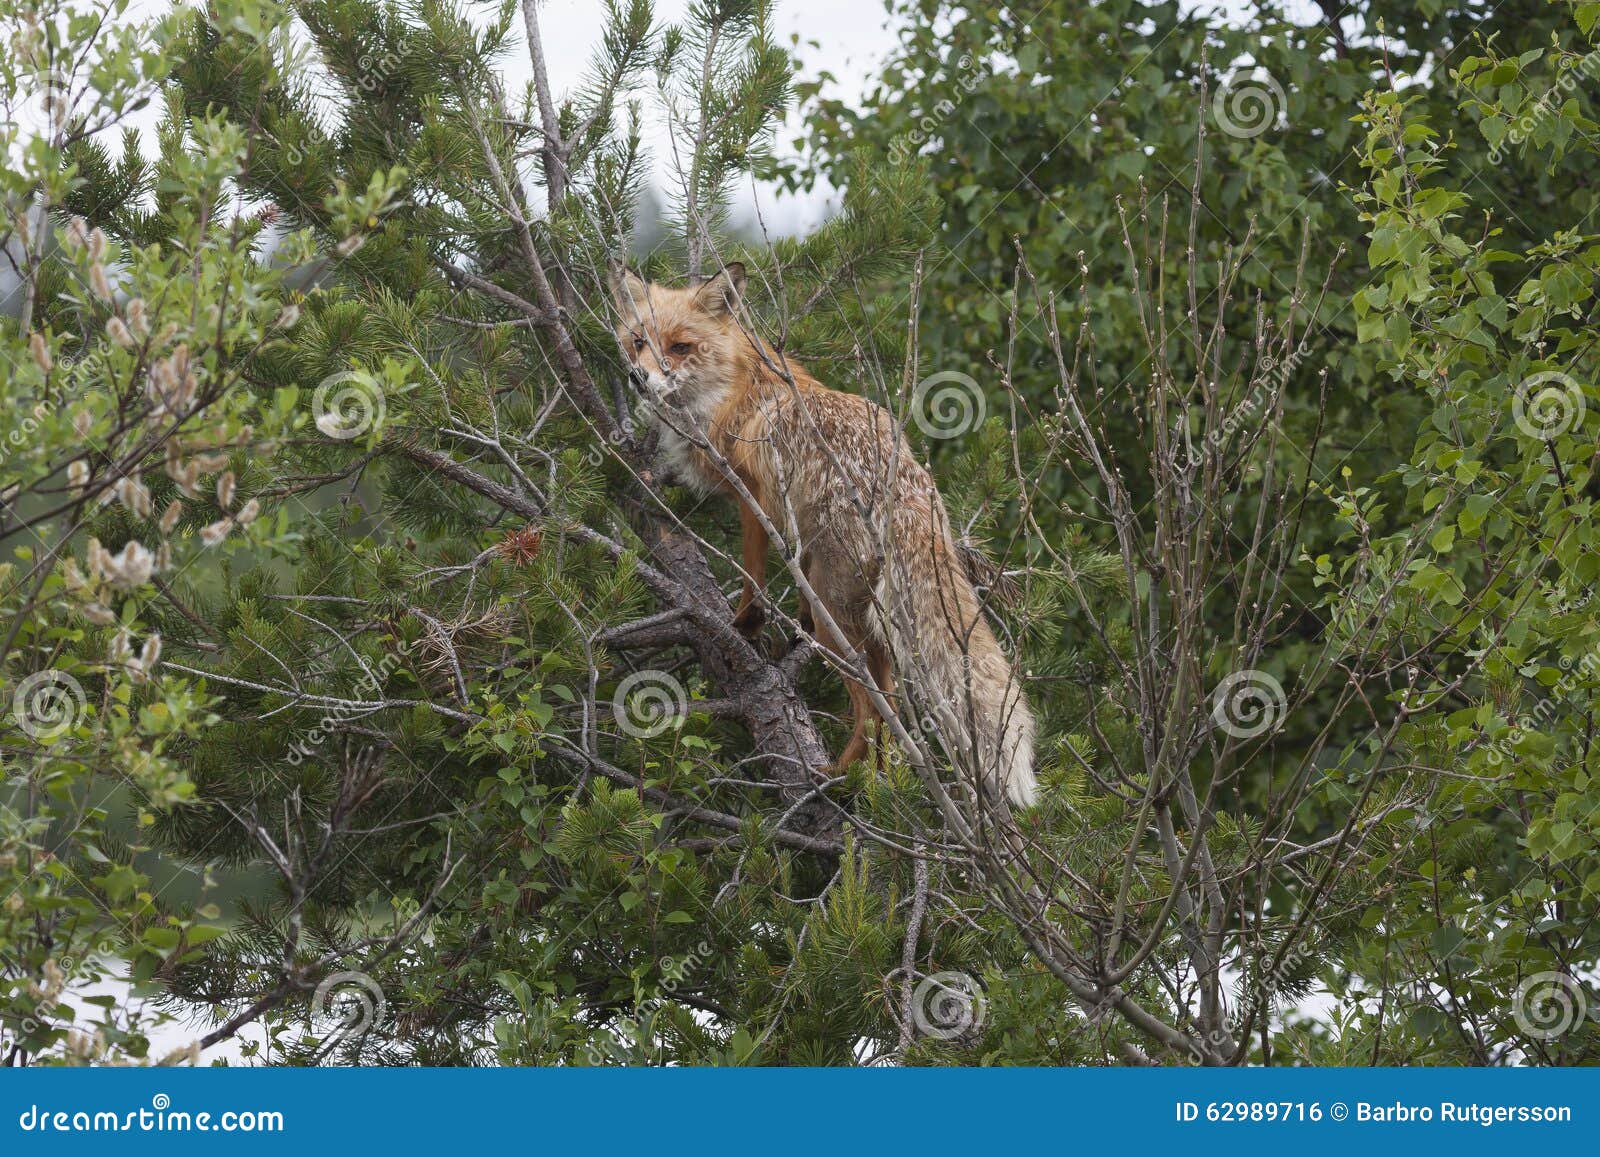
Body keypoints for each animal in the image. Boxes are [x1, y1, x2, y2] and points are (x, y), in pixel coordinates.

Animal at [609, 262, 1037, 808]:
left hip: (835, 614)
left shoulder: (754, 496)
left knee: (873, 708)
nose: (639, 377)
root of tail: (911, 496)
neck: (732, 389)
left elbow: (753, 572)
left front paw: (745, 623)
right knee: (889, 705)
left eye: (681, 347)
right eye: (638, 341)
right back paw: (881, 783)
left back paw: (837, 775)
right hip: (869, 621)